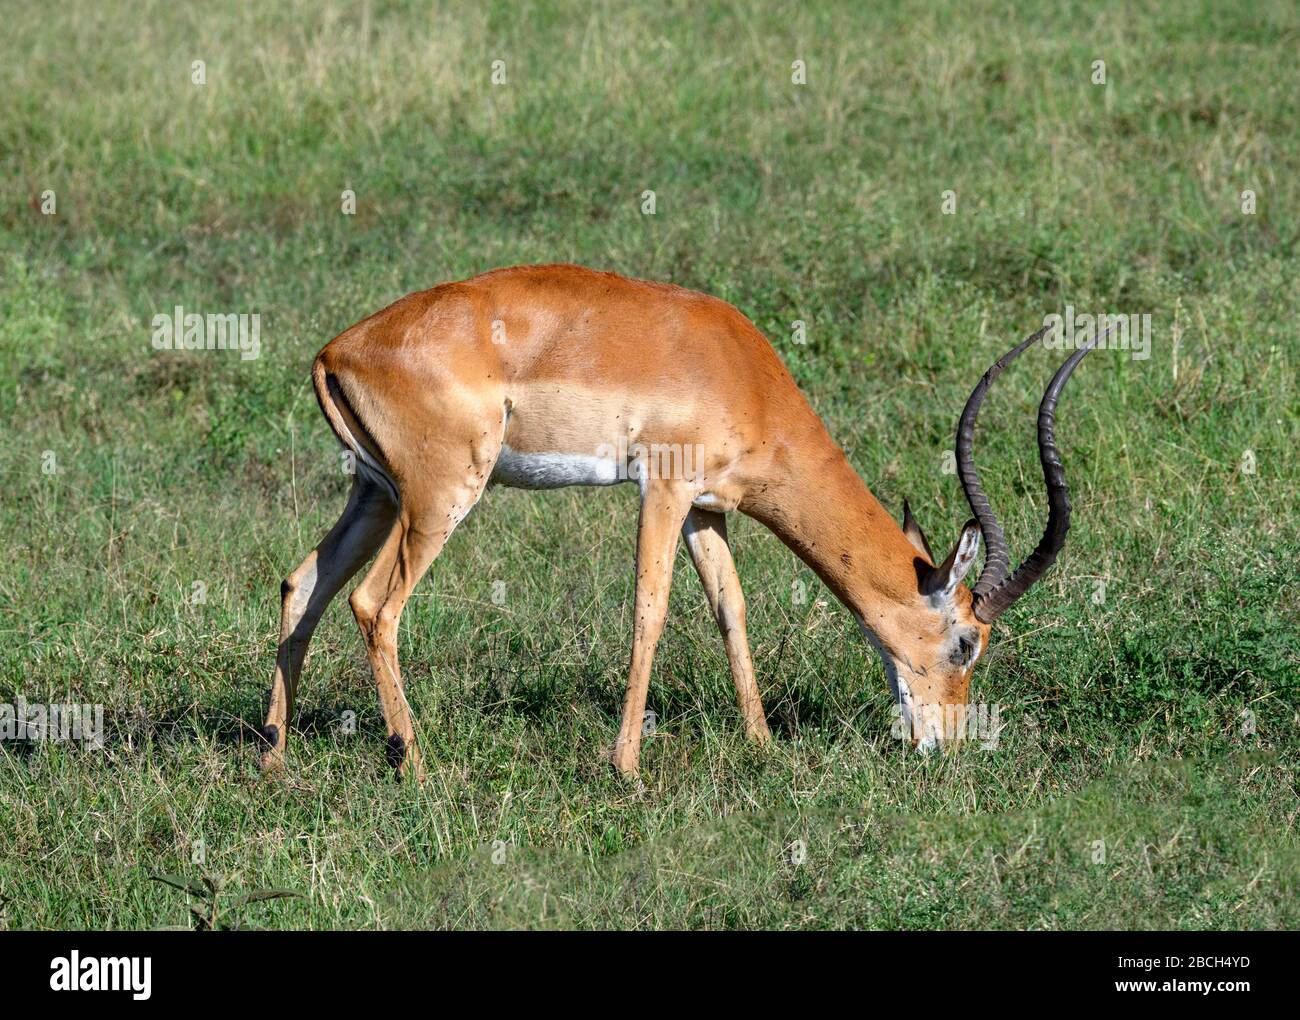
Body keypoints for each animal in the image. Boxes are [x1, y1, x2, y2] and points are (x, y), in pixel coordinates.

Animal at [260, 264, 1098, 779]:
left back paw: (274, 759)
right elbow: (651, 608)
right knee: (374, 603)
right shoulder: (661, 489)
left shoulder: (704, 509)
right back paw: (419, 766)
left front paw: (762, 745)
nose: (946, 743)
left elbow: (731, 608)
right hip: (439, 498)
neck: (741, 372)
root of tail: (337, 350)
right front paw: (625, 766)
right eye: (966, 643)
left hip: (375, 496)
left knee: (303, 585)